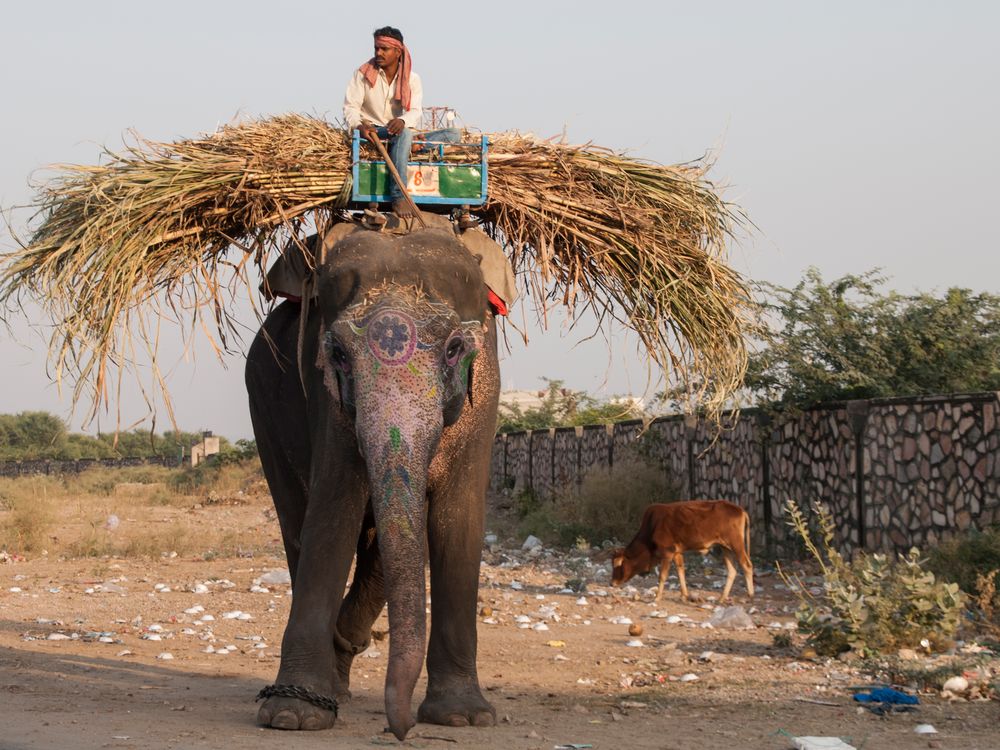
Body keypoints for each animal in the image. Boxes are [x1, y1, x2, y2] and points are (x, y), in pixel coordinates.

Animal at [245, 216, 501, 740]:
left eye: (454, 350)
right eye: (339, 353)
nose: (400, 731)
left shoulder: (484, 397)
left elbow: (458, 522)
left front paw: (464, 717)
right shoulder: (324, 400)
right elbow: (332, 513)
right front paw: (292, 717)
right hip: (262, 405)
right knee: (296, 525)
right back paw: (330, 685)